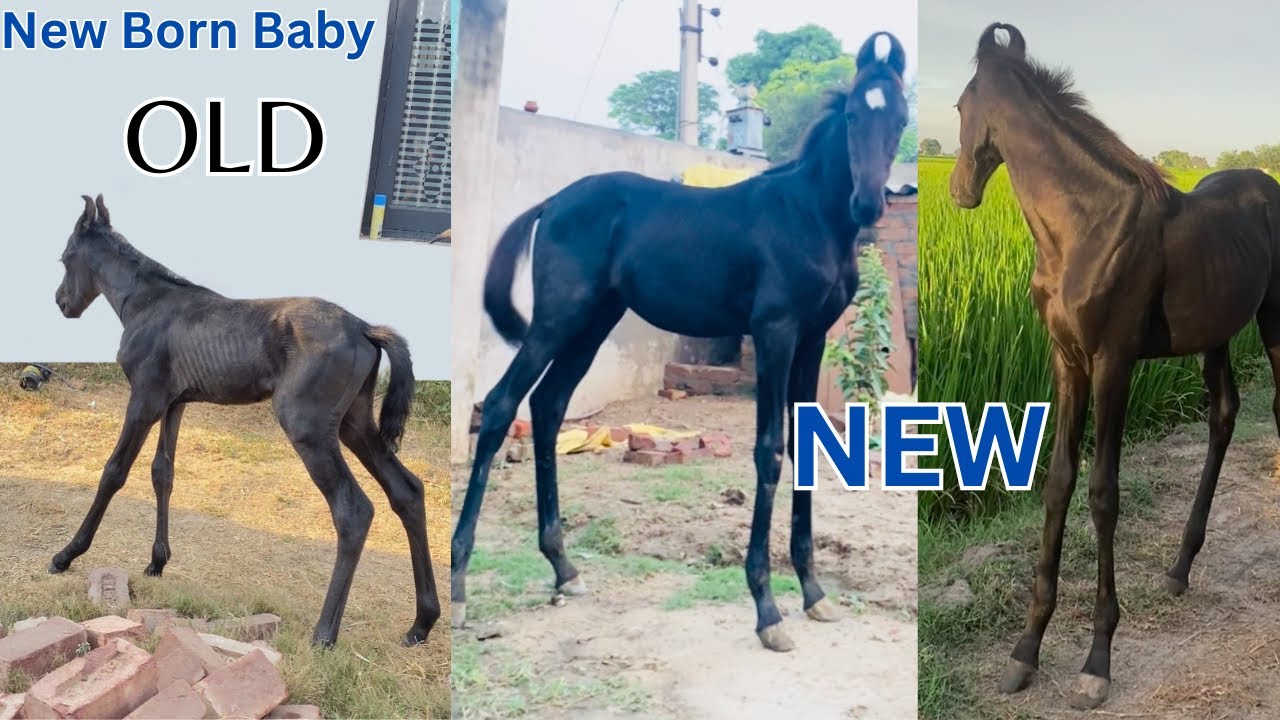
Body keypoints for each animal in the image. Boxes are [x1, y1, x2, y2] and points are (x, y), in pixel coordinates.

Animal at [52, 195, 441, 648]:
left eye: (65, 258)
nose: (61, 302)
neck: (148, 303)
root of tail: (365, 328)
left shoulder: (144, 400)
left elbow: (114, 472)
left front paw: (67, 554)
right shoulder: (173, 404)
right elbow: (162, 472)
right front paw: (157, 562)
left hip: (307, 426)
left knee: (353, 510)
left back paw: (324, 634)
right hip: (354, 423)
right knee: (407, 491)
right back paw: (421, 623)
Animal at [452, 31, 910, 652]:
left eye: (902, 118)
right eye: (854, 116)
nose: (867, 203)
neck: (810, 215)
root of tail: (552, 203)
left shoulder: (812, 339)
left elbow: (804, 446)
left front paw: (814, 593)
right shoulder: (775, 331)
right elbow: (770, 450)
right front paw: (767, 609)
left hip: (593, 323)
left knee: (547, 408)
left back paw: (564, 568)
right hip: (557, 320)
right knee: (502, 405)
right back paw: (459, 587)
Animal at [951, 23, 1280, 708]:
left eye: (961, 104)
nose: (959, 190)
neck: (1084, 227)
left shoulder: (1114, 362)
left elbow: (1103, 493)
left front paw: (1097, 659)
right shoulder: (1067, 360)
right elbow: (1058, 482)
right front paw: (1025, 652)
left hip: (1274, 320)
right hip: (1216, 335)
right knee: (1223, 415)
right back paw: (1179, 568)